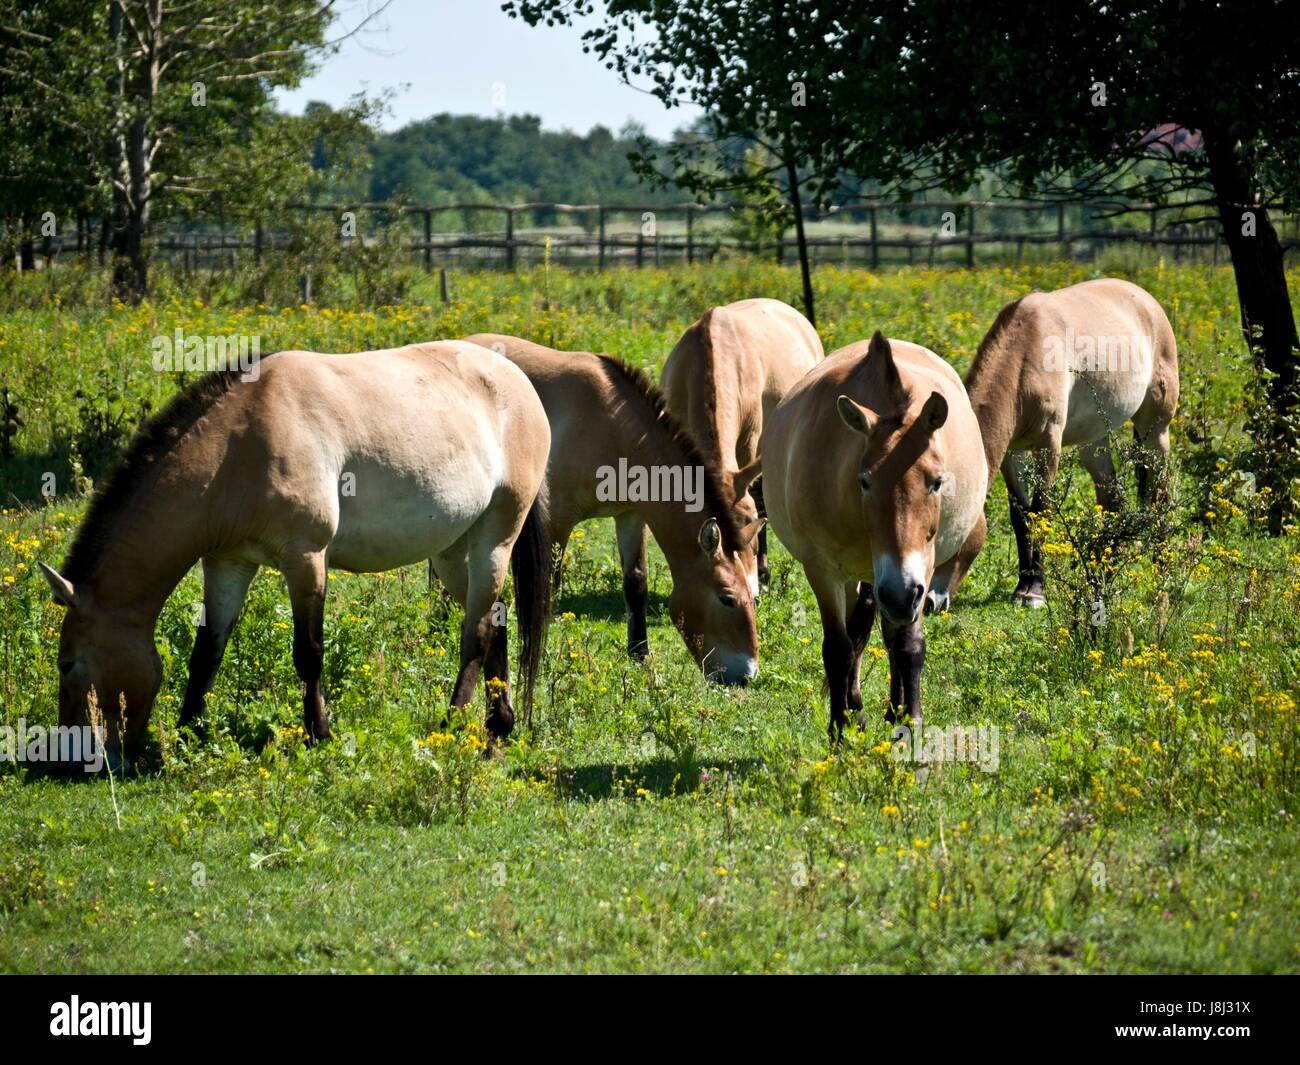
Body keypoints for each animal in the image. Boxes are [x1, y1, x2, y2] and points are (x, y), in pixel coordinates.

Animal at [39, 342, 551, 767]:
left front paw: (319, 735)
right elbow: (207, 651)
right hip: (450, 551)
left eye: (68, 664)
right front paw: (187, 734)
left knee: (477, 634)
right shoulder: (228, 563)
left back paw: (450, 728)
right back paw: (497, 729)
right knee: (495, 619)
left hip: (496, 535)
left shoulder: (306, 558)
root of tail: (517, 380)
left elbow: (309, 653)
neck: (237, 449)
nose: (66, 758)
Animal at [463, 334, 762, 684]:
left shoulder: (631, 516)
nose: (747, 674)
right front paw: (545, 654)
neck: (611, 427)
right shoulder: (558, 520)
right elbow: (551, 585)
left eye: (751, 598)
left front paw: (640, 653)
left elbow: (636, 583)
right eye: (727, 599)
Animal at [761, 332, 988, 740]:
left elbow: (906, 643)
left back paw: (892, 711)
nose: (899, 593)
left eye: (937, 482)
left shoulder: (919, 569)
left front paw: (910, 720)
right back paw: (856, 709)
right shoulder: (823, 570)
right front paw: (840, 729)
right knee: (859, 632)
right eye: (865, 481)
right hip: (862, 577)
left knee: (886, 633)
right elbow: (838, 648)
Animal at [964, 277, 1179, 607]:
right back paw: (1104, 569)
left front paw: (1035, 592)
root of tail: (1147, 301)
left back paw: (1162, 569)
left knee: (1159, 497)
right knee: (1113, 502)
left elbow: (1041, 511)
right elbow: (1020, 516)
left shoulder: (1047, 445)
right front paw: (1021, 586)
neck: (1024, 356)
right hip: (1094, 441)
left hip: (1155, 431)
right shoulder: (1012, 453)